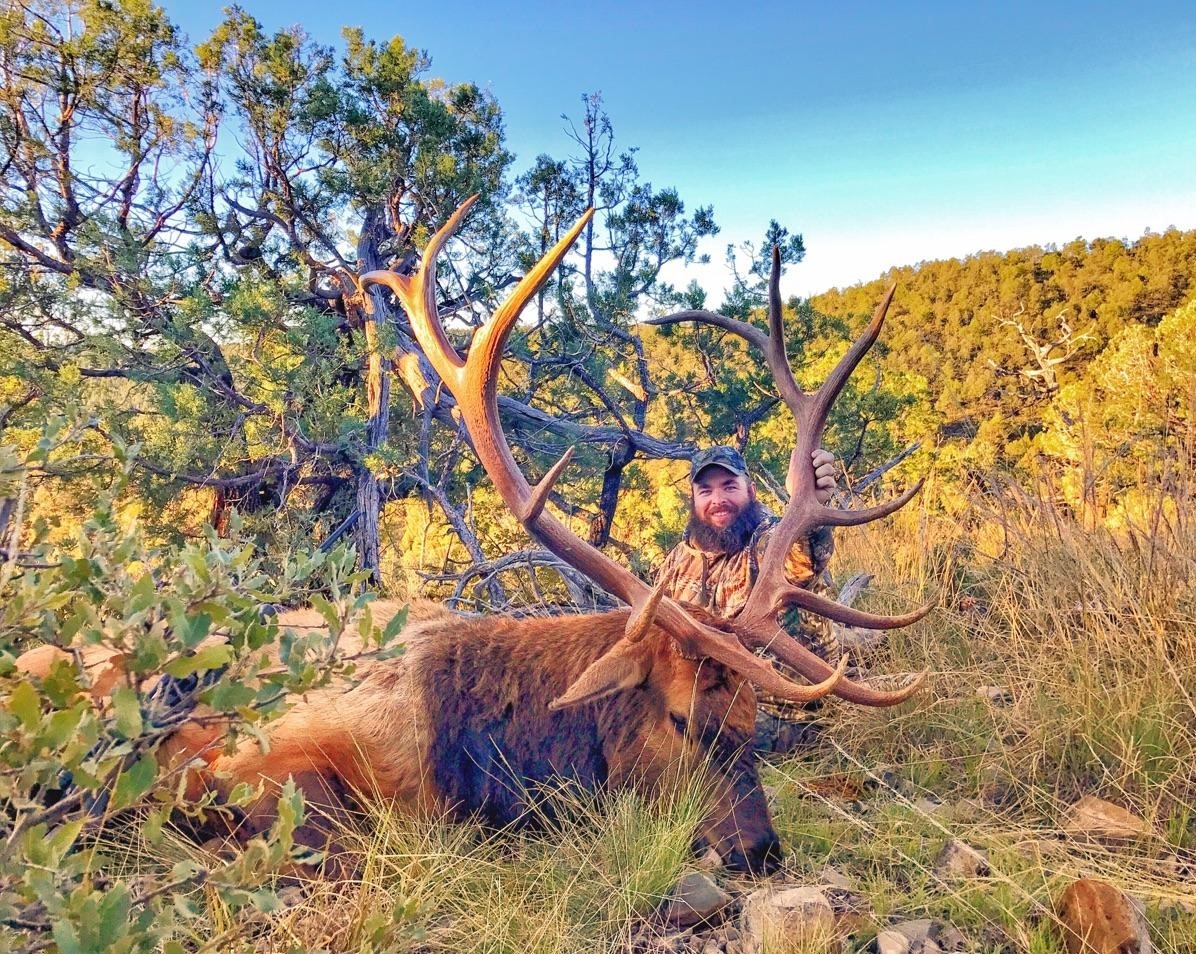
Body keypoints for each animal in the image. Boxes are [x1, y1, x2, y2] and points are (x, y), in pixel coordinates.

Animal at [16, 197, 929, 876]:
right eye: (678, 718)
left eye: (751, 722)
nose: (760, 850)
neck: (496, 753)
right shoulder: (259, 755)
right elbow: (320, 835)